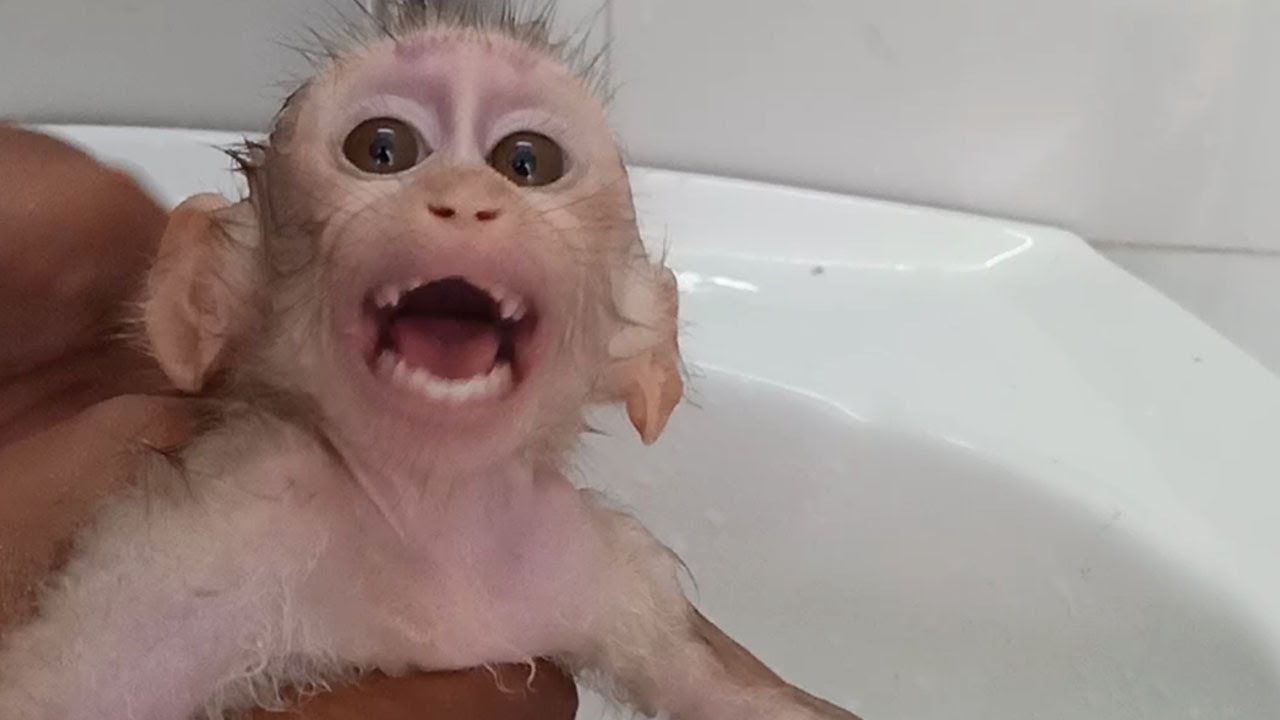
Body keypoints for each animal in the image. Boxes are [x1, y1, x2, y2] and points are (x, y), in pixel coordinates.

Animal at [0, 2, 860, 718]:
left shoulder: (611, 570)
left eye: (525, 161)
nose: (466, 199)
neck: (429, 523)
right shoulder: (209, 539)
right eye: (383, 149)